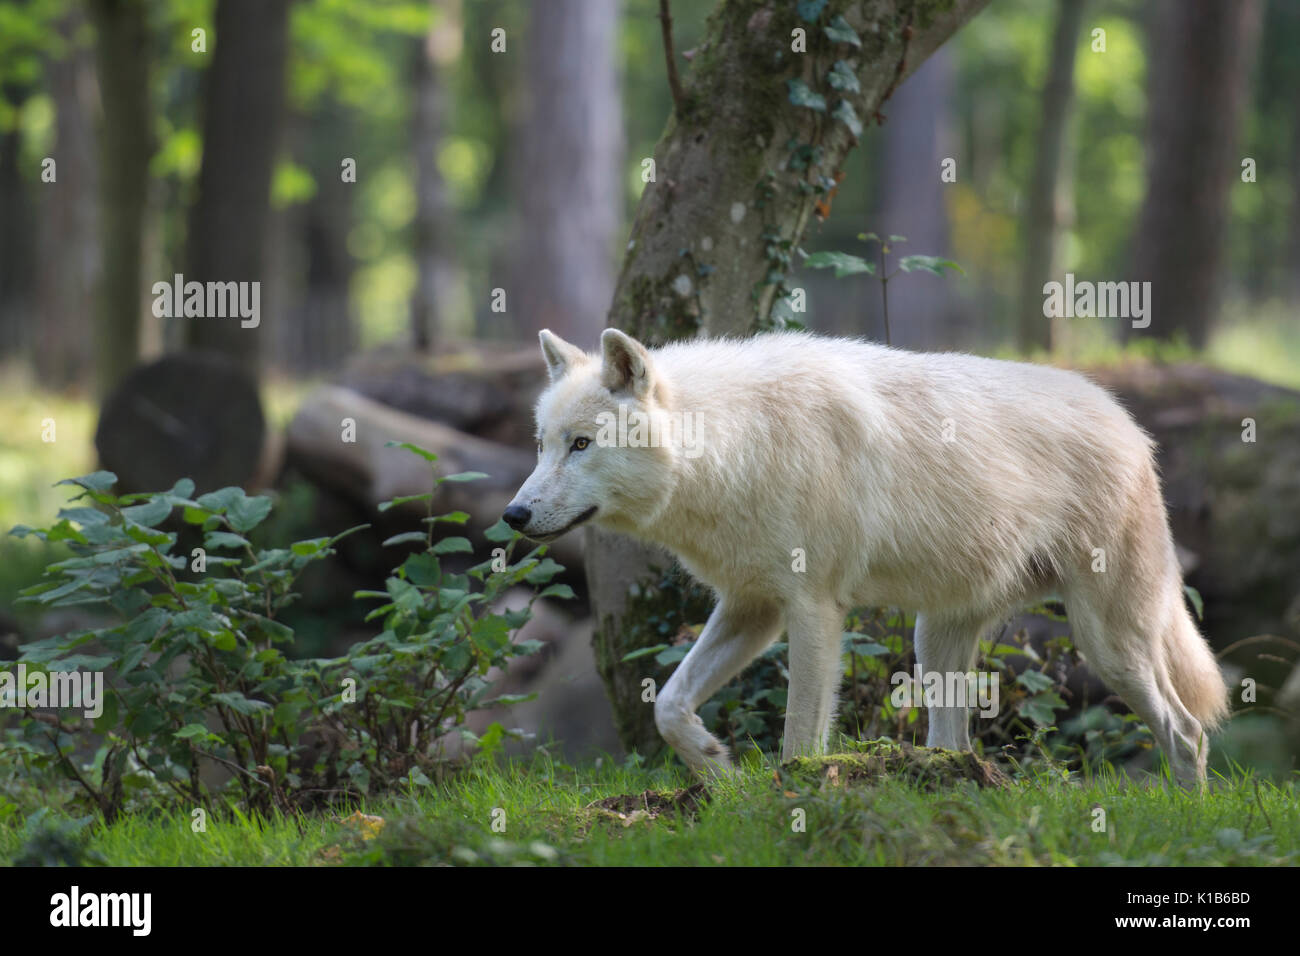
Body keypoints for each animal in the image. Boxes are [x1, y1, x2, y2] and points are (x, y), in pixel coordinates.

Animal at [504, 328, 1229, 784]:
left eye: (581, 444)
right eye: (541, 444)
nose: (513, 514)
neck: (735, 445)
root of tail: (1132, 426)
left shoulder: (814, 610)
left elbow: (799, 736)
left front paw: (788, 795)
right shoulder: (751, 609)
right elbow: (669, 707)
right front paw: (719, 771)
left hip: (1107, 642)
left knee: (1188, 732)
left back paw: (1187, 817)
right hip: (936, 641)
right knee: (953, 743)